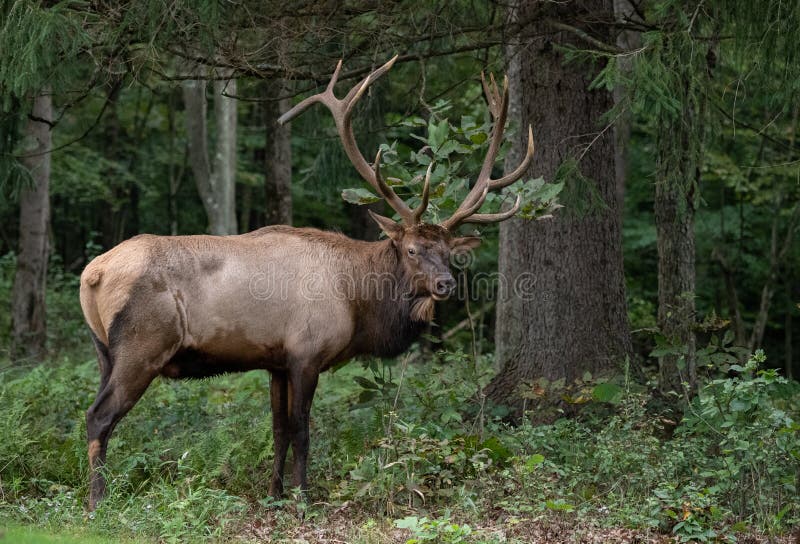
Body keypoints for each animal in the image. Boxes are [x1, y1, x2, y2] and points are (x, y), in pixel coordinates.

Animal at [79, 55, 535, 510]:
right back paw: (97, 503)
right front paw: (302, 499)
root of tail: (91, 273)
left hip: (104, 351)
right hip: (142, 344)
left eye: (448, 251)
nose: (444, 284)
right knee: (98, 416)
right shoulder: (306, 352)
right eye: (411, 249)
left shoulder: (276, 361)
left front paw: (274, 494)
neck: (357, 302)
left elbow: (278, 430)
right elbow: (302, 429)